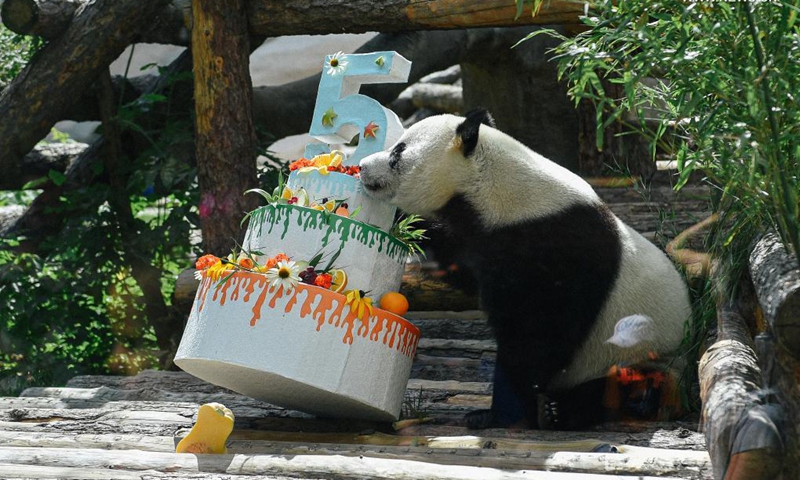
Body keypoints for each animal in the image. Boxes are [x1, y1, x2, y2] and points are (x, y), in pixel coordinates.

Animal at [359, 109, 692, 430]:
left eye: (398, 153)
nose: (362, 166)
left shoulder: (551, 244)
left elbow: (537, 335)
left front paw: (496, 415)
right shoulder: (482, 238)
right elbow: (454, 258)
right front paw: (406, 223)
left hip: (643, 353)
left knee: (629, 388)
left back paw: (559, 411)